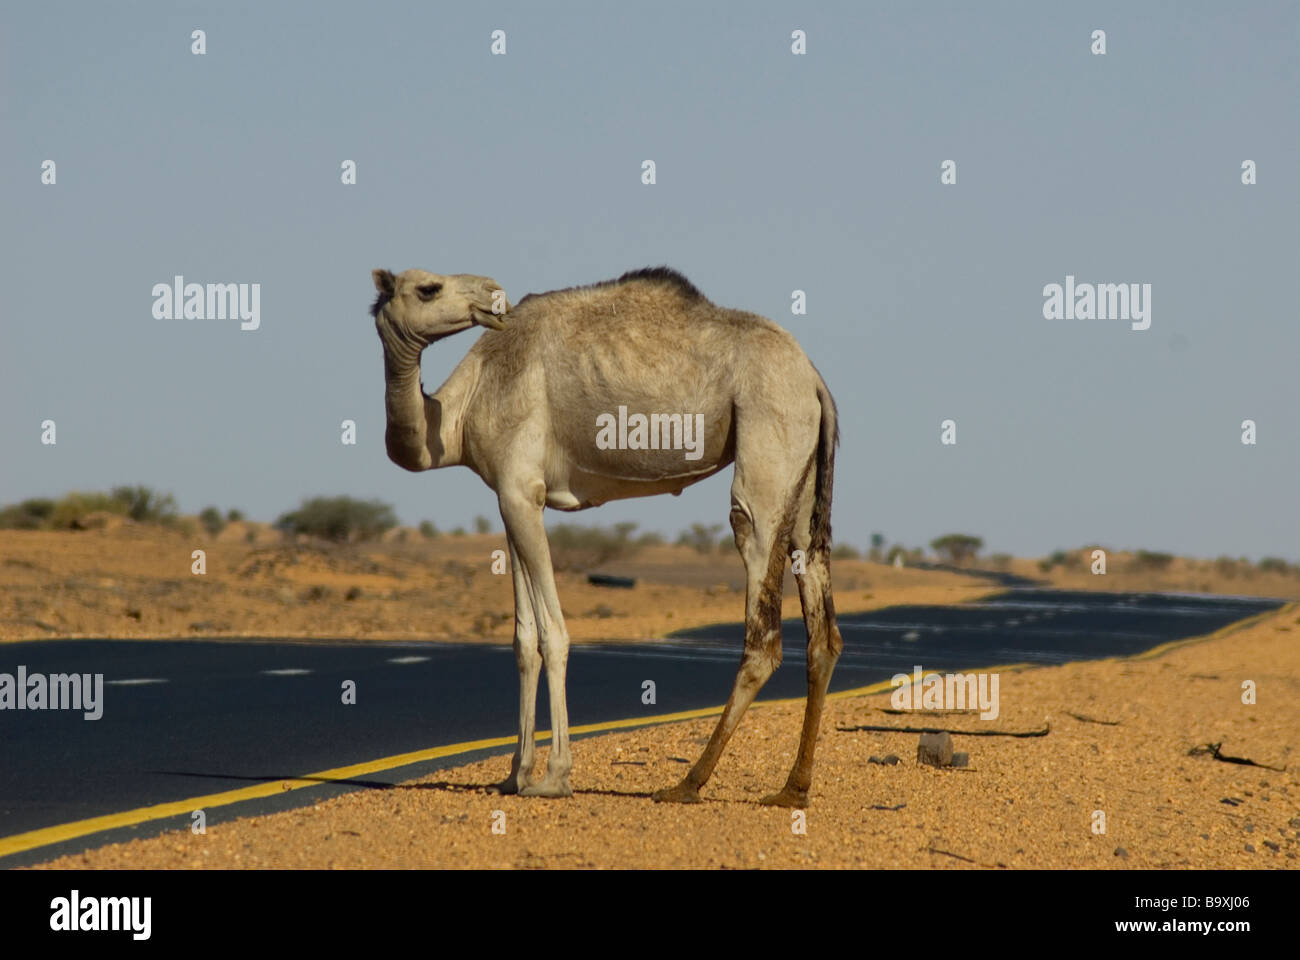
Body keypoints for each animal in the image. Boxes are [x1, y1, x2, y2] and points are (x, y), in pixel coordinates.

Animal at [370, 266, 843, 806]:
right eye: (428, 288)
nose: (493, 296)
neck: (461, 412)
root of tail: (813, 378)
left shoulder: (519, 488)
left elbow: (552, 635)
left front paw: (553, 778)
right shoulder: (510, 497)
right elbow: (523, 639)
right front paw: (514, 775)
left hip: (768, 432)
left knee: (760, 611)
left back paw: (688, 782)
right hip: (803, 476)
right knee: (821, 623)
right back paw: (793, 789)